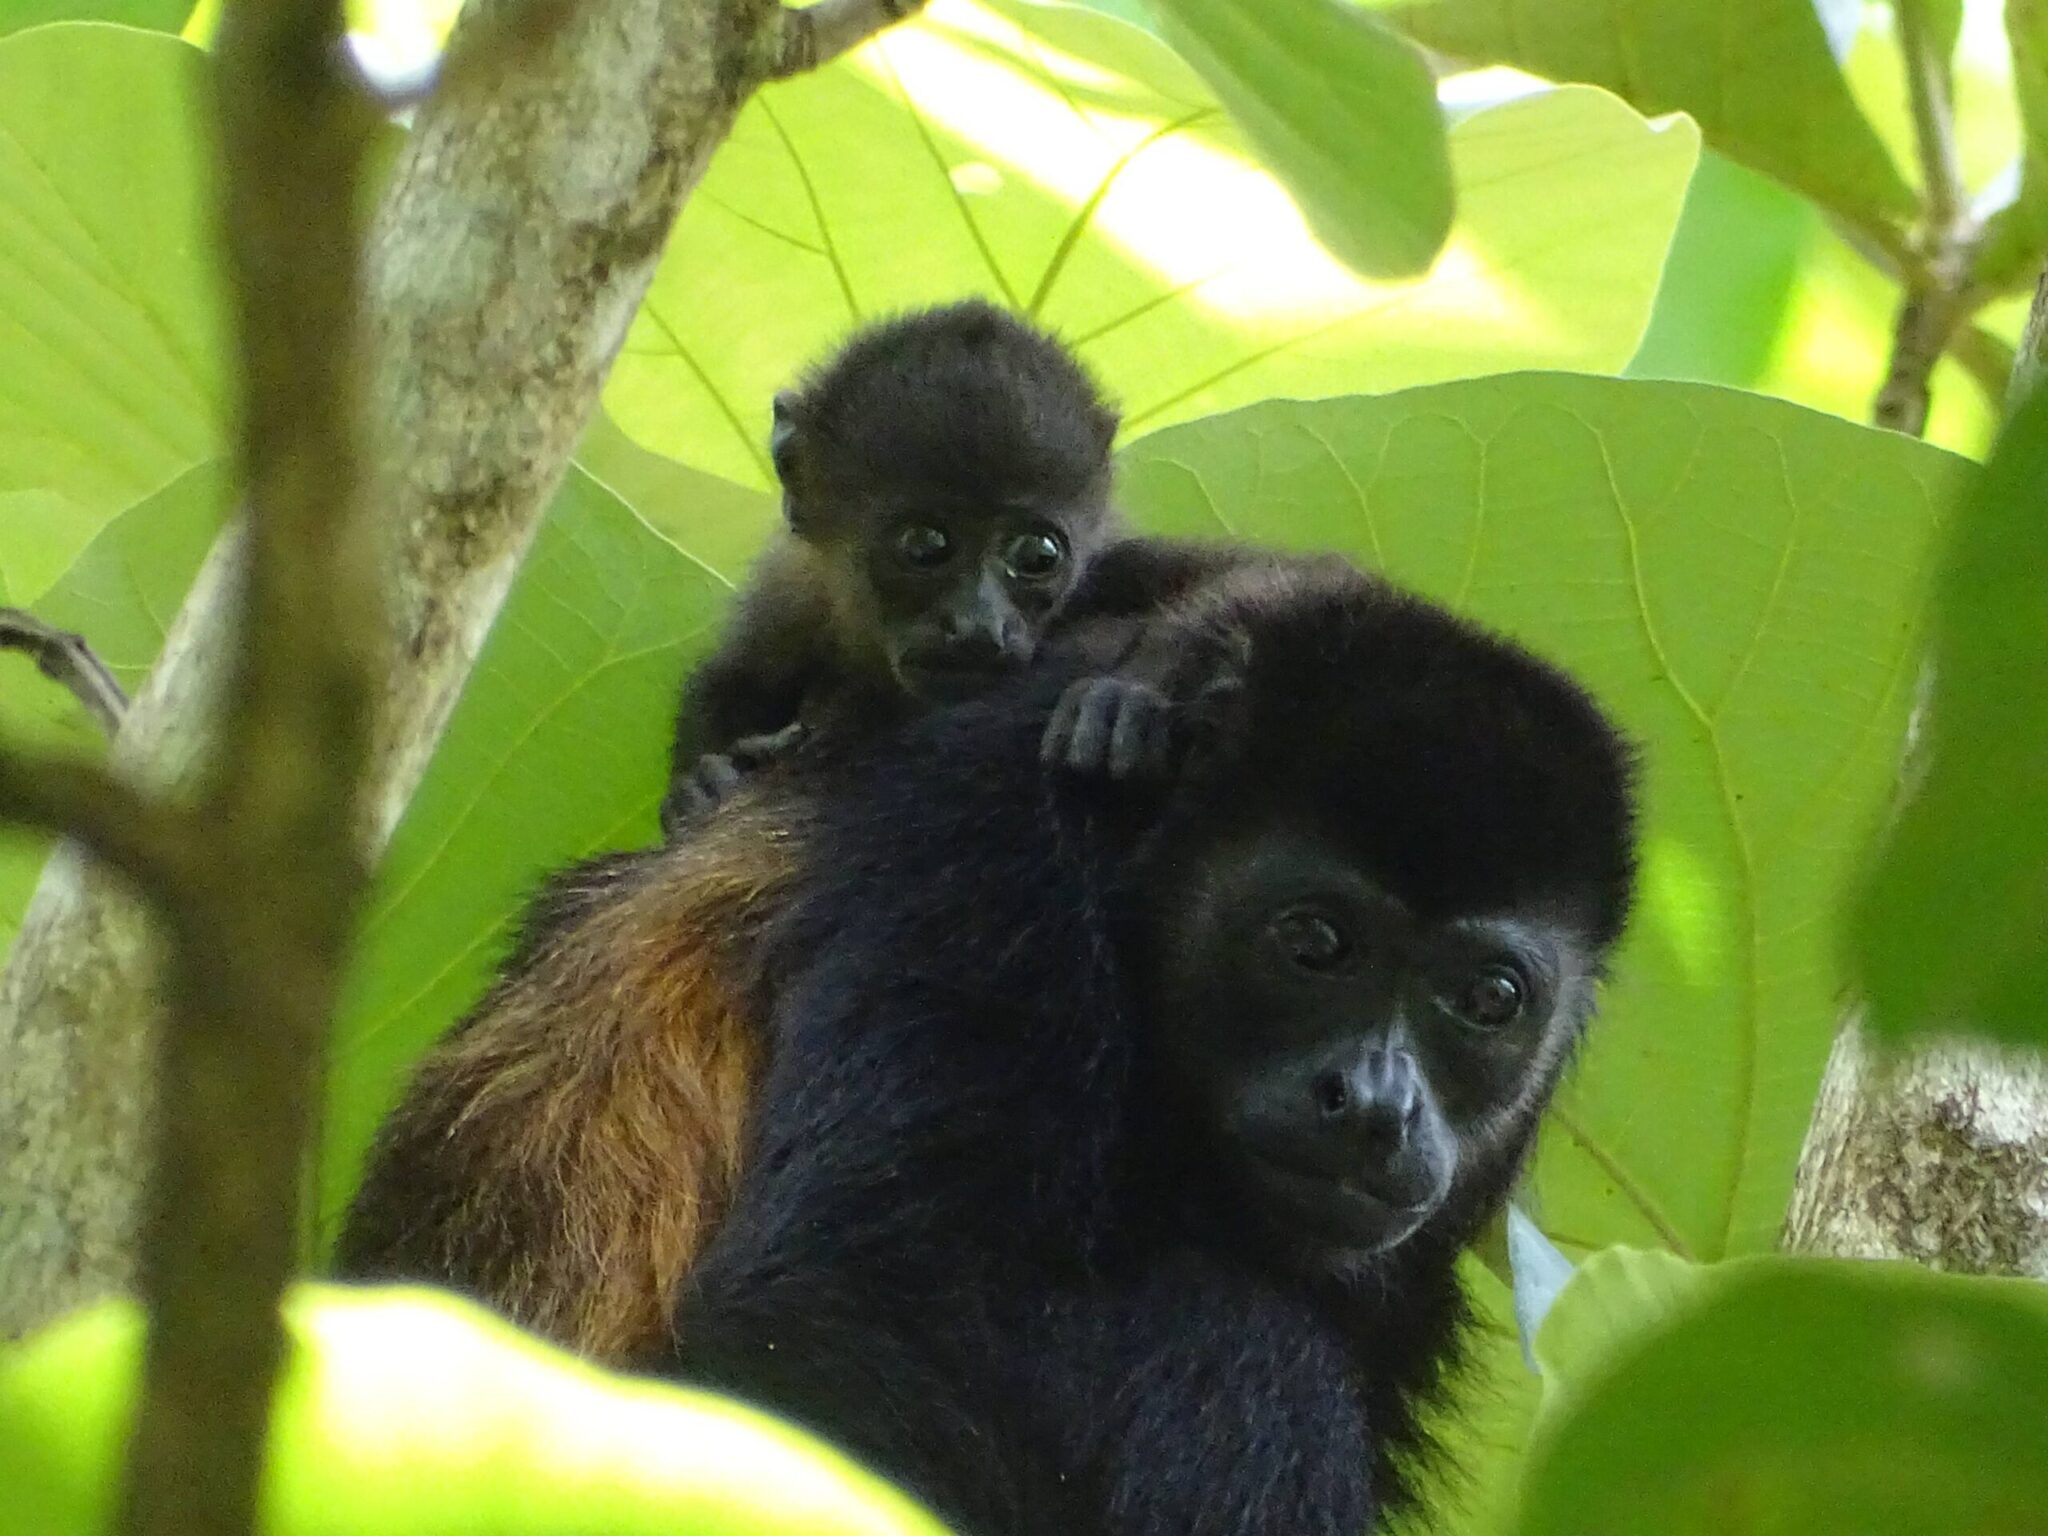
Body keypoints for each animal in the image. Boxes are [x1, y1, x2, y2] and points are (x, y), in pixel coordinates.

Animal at [661, 297, 1128, 830]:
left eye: (1037, 555)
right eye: (924, 544)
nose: (978, 624)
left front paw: (1117, 700)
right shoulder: (791, 586)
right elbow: (731, 679)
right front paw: (700, 784)